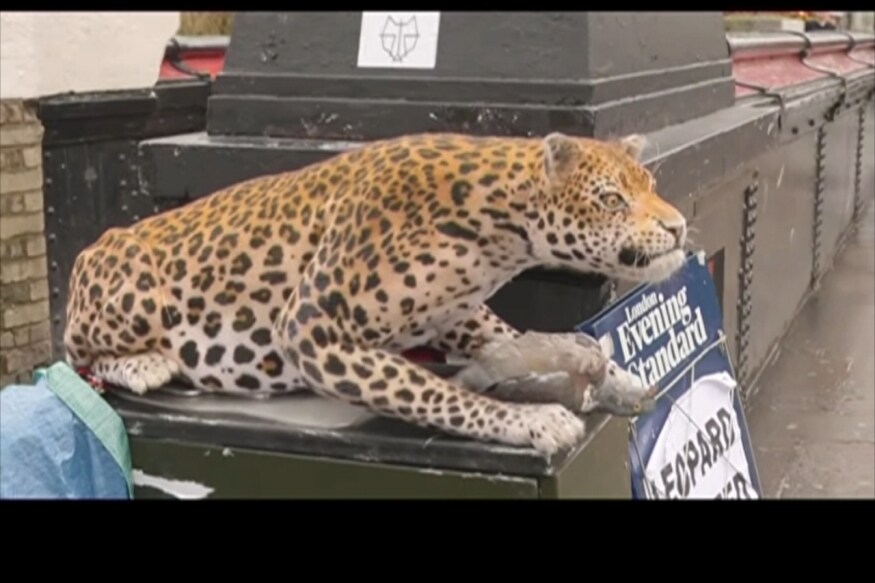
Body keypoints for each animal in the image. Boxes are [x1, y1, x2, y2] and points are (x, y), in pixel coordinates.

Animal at [63, 131, 687, 458]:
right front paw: (530, 421)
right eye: (611, 200)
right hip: (130, 286)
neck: (504, 231)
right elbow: (432, 395)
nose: (679, 227)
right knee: (77, 354)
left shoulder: (451, 312)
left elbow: (510, 339)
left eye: (653, 186)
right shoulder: (311, 331)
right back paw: (144, 364)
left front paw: (604, 370)